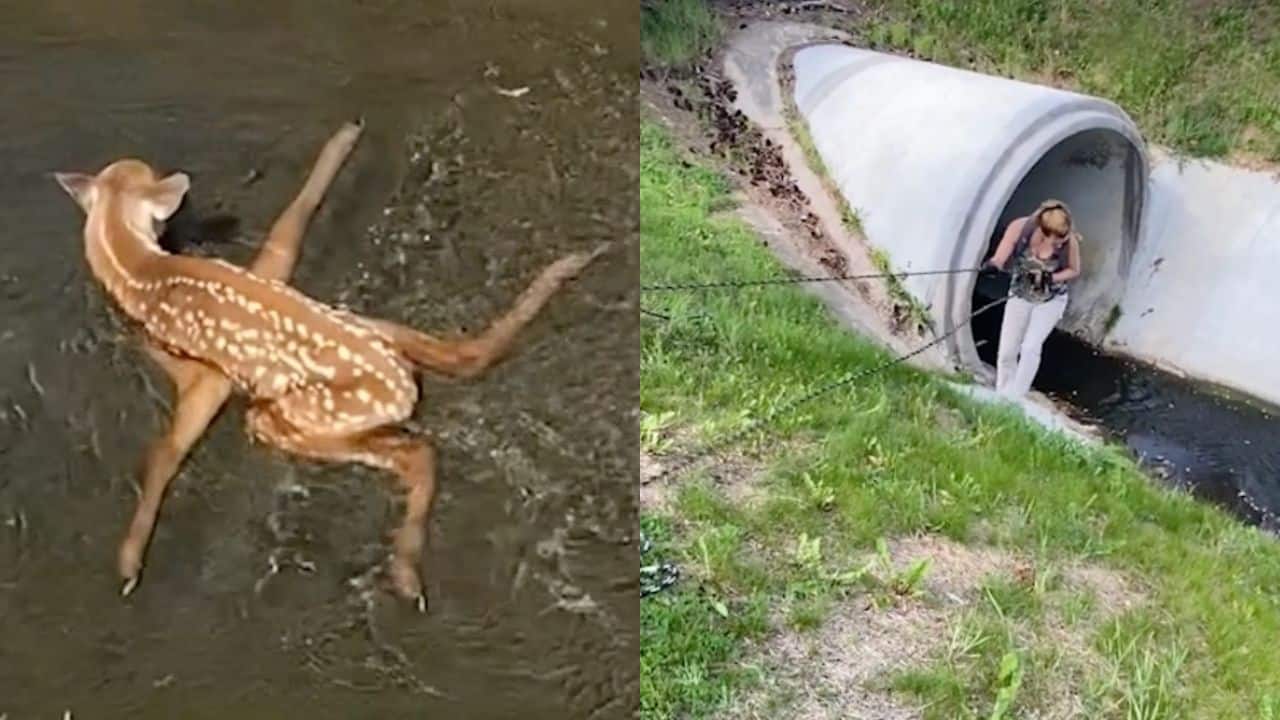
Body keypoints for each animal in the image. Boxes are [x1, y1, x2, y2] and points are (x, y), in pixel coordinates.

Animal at [54, 119, 606, 611]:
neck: (141, 268)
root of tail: (403, 387)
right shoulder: (270, 270)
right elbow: (290, 226)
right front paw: (343, 142)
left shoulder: (204, 376)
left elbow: (168, 450)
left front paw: (129, 562)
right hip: (369, 333)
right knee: (459, 361)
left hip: (297, 416)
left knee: (414, 452)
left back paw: (406, 575)